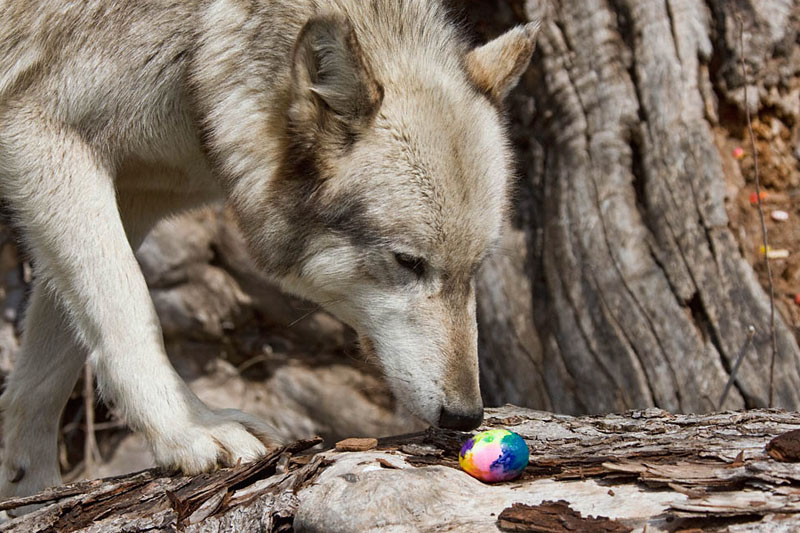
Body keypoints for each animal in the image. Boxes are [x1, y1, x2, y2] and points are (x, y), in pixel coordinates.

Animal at [0, 0, 537, 502]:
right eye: (408, 262)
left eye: (475, 269)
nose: (465, 415)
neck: (203, 44)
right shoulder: (39, 132)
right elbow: (129, 308)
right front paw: (189, 428)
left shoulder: (132, 195)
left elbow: (49, 372)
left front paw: (28, 491)